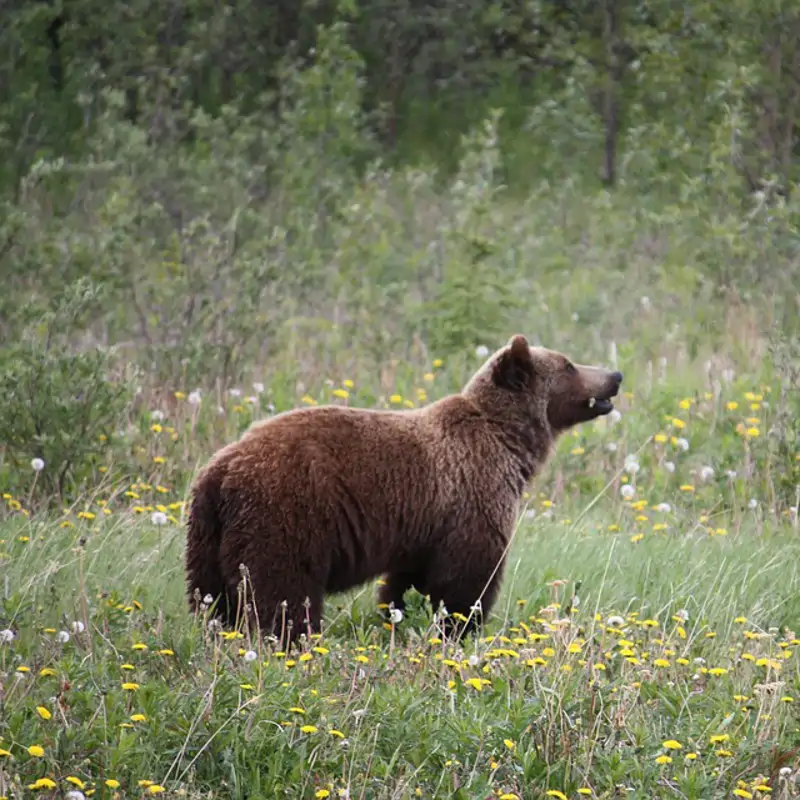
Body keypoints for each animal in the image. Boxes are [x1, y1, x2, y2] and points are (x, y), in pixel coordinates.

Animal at [184, 334, 622, 646]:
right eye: (569, 365)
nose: (615, 376)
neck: (509, 442)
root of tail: (222, 468)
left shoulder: (424, 524)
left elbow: (408, 581)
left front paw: (399, 618)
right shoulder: (473, 494)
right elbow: (465, 578)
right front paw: (459, 628)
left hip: (208, 533)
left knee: (210, 597)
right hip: (285, 514)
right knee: (282, 592)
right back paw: (290, 641)